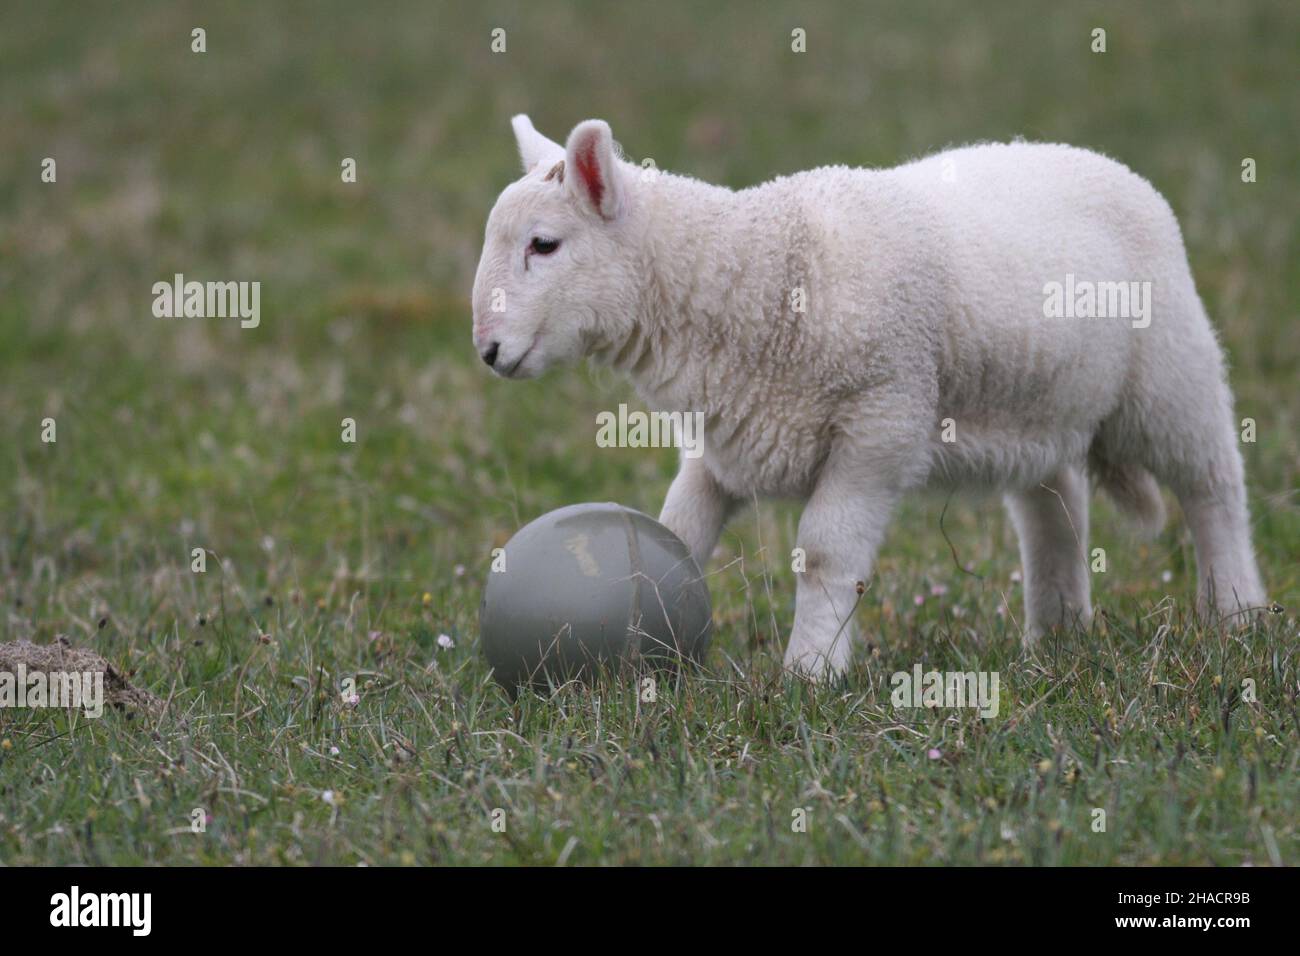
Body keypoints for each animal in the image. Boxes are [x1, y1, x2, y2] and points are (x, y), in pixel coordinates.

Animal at [471, 114, 1267, 679]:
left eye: (544, 244)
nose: (487, 352)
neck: (748, 275)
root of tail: (1102, 162)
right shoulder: (724, 439)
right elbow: (677, 531)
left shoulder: (879, 423)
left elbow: (825, 554)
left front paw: (809, 675)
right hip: (1038, 404)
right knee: (1055, 510)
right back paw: (1058, 637)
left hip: (1169, 375)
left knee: (1214, 486)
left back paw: (1236, 615)